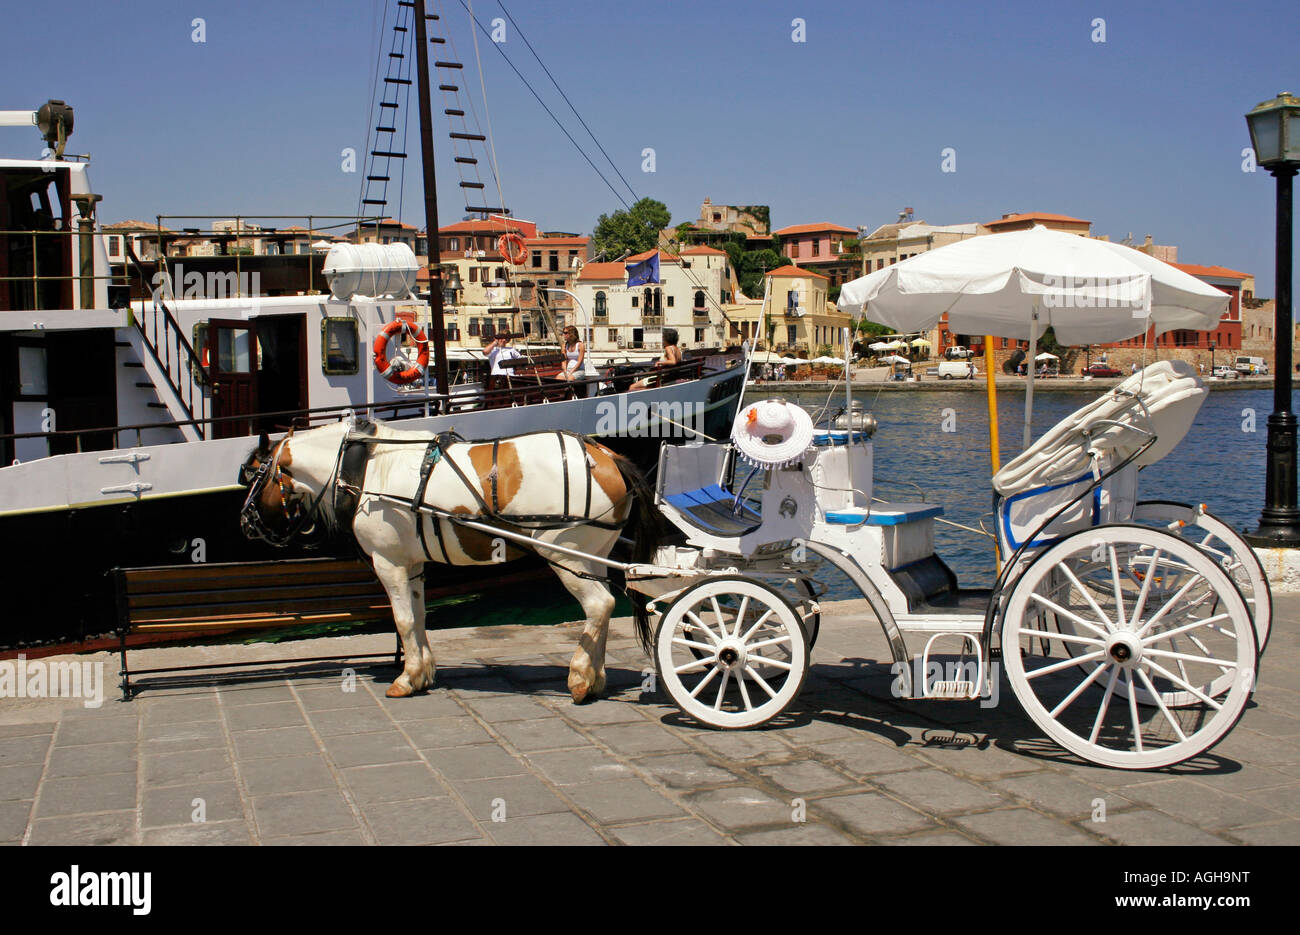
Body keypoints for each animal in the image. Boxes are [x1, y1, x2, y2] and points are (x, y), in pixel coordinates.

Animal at [237, 419, 658, 702]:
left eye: (252, 475)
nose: (244, 523)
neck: (369, 469)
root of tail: (606, 455)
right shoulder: (412, 565)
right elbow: (419, 617)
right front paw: (423, 672)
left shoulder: (388, 562)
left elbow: (403, 620)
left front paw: (405, 679)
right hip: (592, 557)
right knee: (604, 606)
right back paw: (597, 677)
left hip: (563, 553)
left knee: (599, 605)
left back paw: (581, 678)